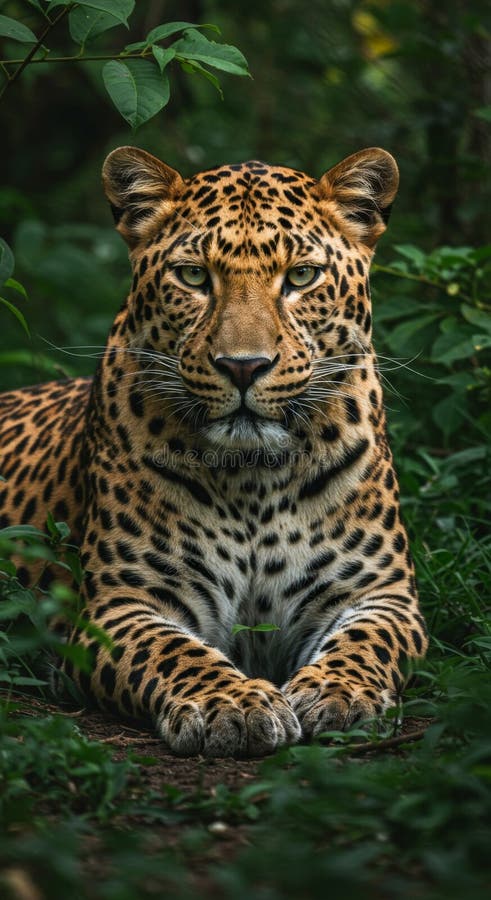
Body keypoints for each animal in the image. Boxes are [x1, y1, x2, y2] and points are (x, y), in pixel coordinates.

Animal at [0, 145, 428, 757]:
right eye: (194, 275)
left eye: (301, 276)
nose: (243, 366)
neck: (253, 475)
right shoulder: (120, 604)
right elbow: (173, 652)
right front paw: (232, 703)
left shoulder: (380, 594)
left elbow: (368, 642)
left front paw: (339, 692)